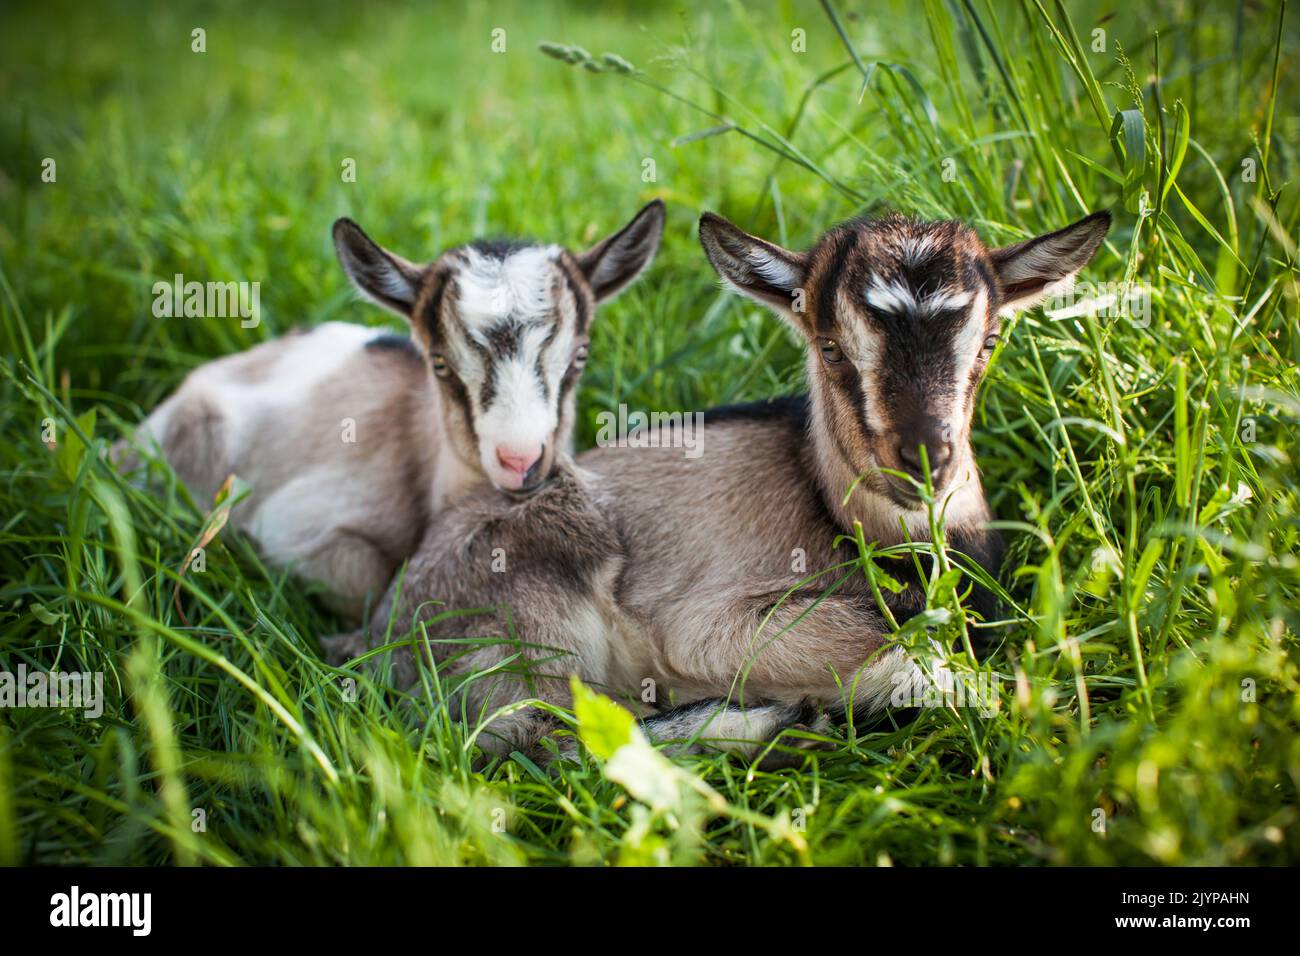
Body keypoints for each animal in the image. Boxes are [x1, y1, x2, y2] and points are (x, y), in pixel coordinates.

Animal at [325, 208, 1110, 759]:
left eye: (987, 342)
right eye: (831, 348)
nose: (924, 461)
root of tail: (380, 627)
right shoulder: (706, 626)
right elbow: (926, 654)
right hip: (534, 609)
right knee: (550, 742)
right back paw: (775, 724)